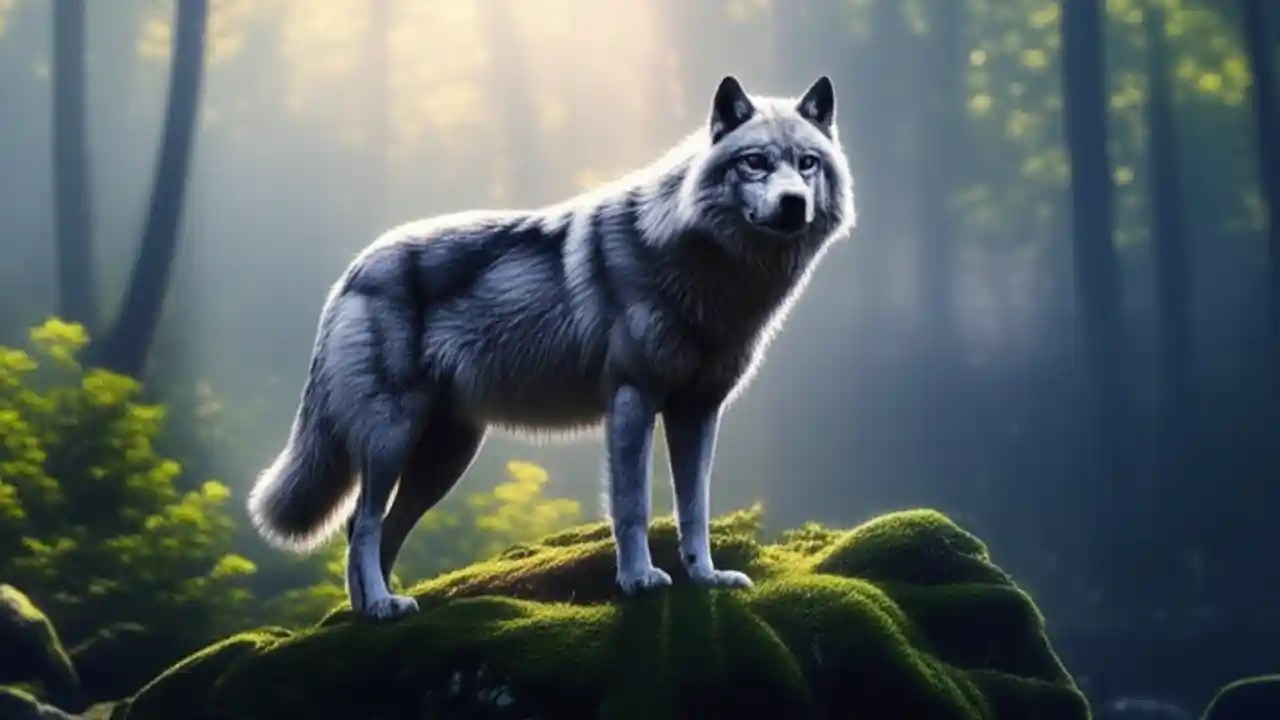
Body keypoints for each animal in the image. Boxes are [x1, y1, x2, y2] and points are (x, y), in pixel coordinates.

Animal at [248, 76, 855, 620]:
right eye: (755, 162)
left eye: (807, 163)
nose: (793, 203)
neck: (714, 273)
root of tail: (352, 271)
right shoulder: (632, 401)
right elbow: (633, 506)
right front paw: (638, 580)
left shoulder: (697, 412)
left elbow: (695, 509)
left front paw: (706, 578)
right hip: (391, 440)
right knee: (363, 524)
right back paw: (378, 606)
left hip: (444, 459)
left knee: (374, 529)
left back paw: (370, 613)